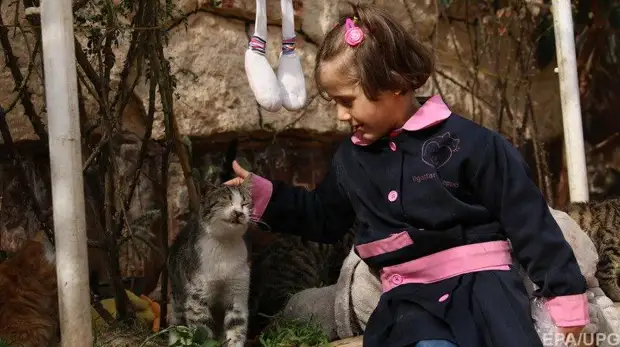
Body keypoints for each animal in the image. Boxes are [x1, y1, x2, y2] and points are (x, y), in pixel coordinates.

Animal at [166, 179, 253, 347]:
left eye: (245, 203)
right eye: (226, 200)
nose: (239, 212)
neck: (225, 245)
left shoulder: (238, 293)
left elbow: (236, 328)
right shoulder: (196, 298)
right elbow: (203, 331)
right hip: (177, 292)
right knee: (177, 321)